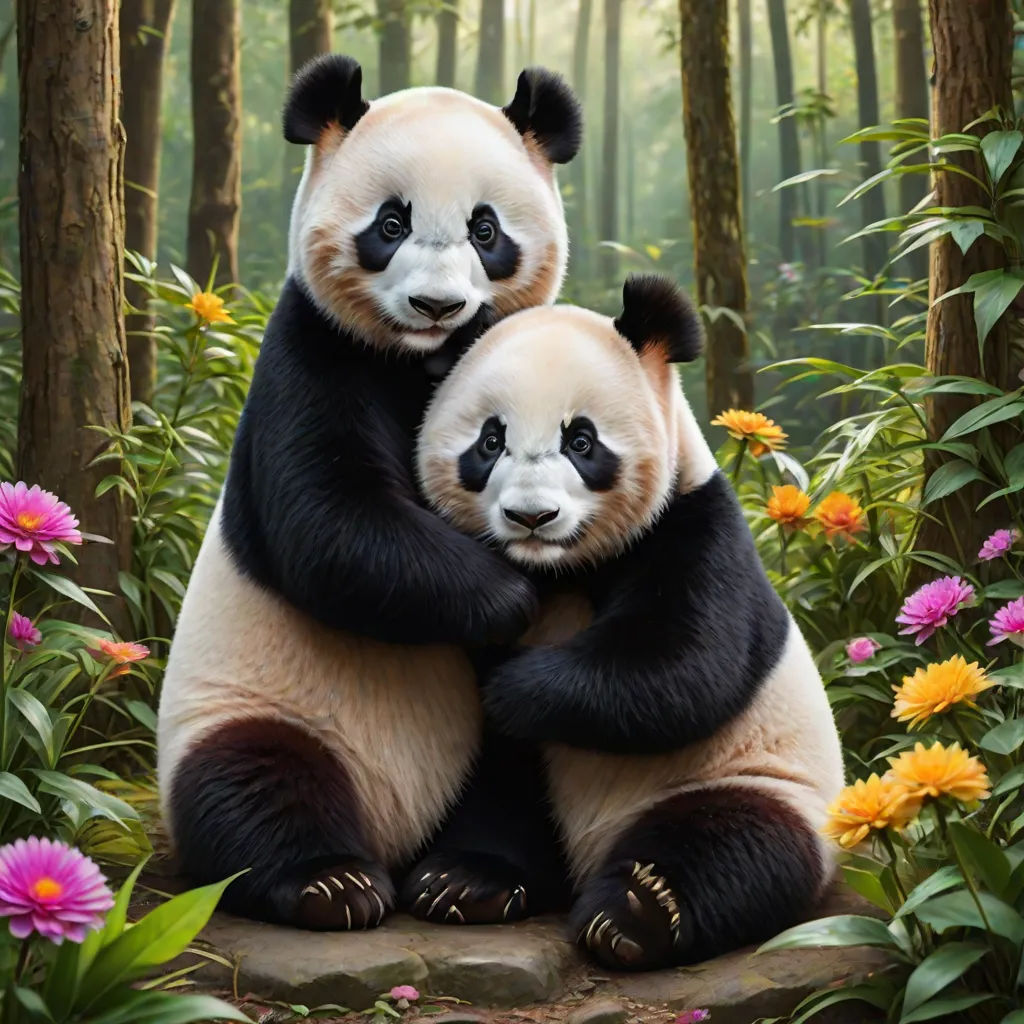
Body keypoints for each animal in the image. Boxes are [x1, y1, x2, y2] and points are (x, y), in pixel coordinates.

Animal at [156, 55, 582, 931]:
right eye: (390, 224)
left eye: (486, 230)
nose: (436, 305)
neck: (423, 361)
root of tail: (397, 831)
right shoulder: (310, 353)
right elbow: (332, 523)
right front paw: (508, 595)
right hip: (250, 705)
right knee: (249, 780)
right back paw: (330, 882)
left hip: (505, 730)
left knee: (519, 781)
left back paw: (468, 879)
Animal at [412, 274, 845, 971]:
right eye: (490, 440)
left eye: (581, 442)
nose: (531, 517)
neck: (556, 571)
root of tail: (583, 862)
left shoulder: (692, 526)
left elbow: (681, 666)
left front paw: (516, 688)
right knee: (502, 796)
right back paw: (466, 880)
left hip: (756, 779)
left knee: (735, 844)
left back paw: (636, 911)